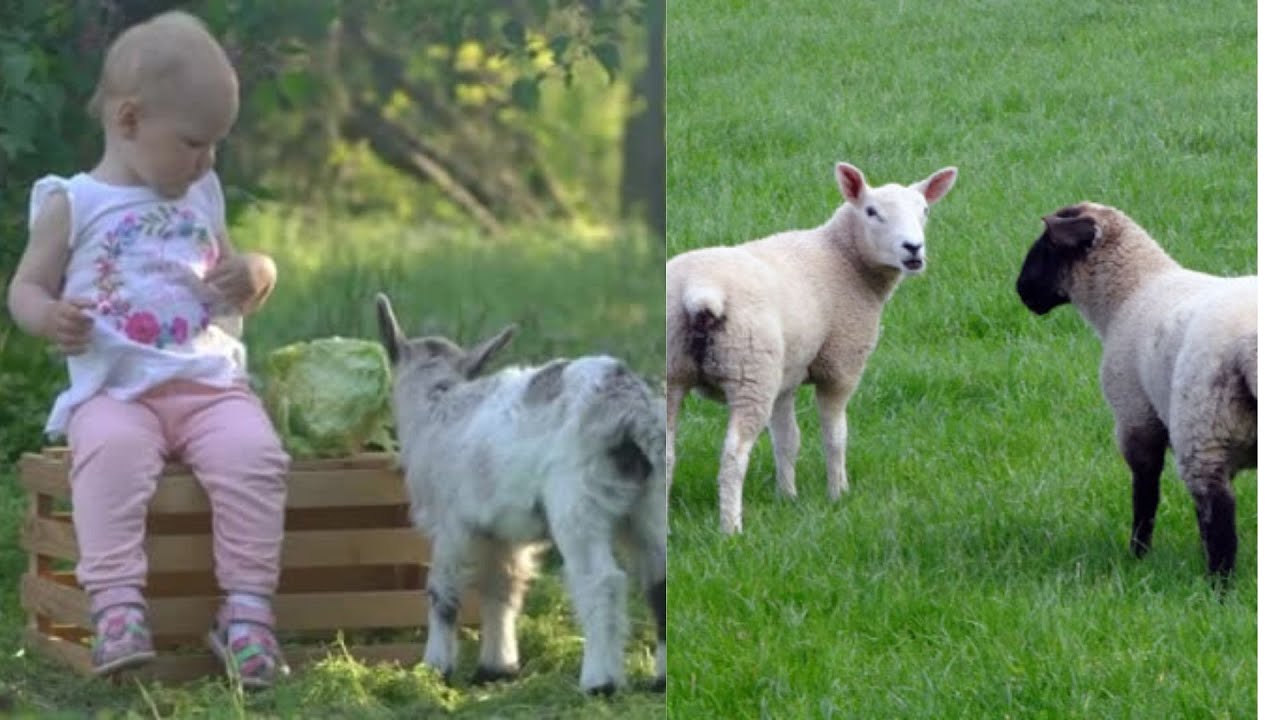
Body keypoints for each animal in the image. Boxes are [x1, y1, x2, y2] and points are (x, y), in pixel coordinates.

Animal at [374, 293, 666, 694]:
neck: (438, 404)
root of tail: (631, 407)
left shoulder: (451, 525)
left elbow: (443, 593)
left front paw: (435, 668)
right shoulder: (502, 532)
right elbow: (502, 590)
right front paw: (496, 668)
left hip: (577, 501)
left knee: (601, 581)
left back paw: (600, 682)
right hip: (650, 503)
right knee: (660, 581)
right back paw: (661, 679)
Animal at [665, 162, 958, 533]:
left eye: (925, 210)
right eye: (871, 212)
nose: (913, 248)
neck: (841, 259)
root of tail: (699, 291)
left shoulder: (786, 377)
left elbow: (787, 440)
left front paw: (787, 496)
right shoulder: (840, 366)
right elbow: (835, 436)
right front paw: (838, 493)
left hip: (676, 372)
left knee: (664, 453)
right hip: (751, 372)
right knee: (734, 456)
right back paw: (731, 529)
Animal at [1016, 202, 1257, 580]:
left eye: (1045, 248)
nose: (1021, 290)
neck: (1132, 291)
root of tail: (1251, 349)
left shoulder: (1135, 416)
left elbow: (1145, 492)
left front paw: (1138, 554)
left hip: (1203, 431)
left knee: (1220, 517)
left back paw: (1218, 584)